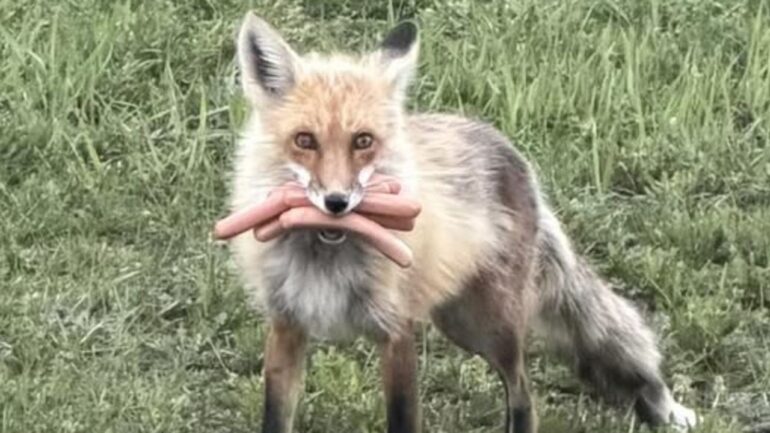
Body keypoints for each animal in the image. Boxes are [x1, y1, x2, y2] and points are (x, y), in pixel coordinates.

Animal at [224, 12, 698, 433]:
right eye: (305, 141)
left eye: (363, 142)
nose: (336, 203)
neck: (326, 255)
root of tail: (512, 152)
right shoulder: (286, 325)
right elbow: (275, 416)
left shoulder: (396, 330)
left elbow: (403, 418)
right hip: (456, 318)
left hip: (489, 326)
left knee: (524, 395)